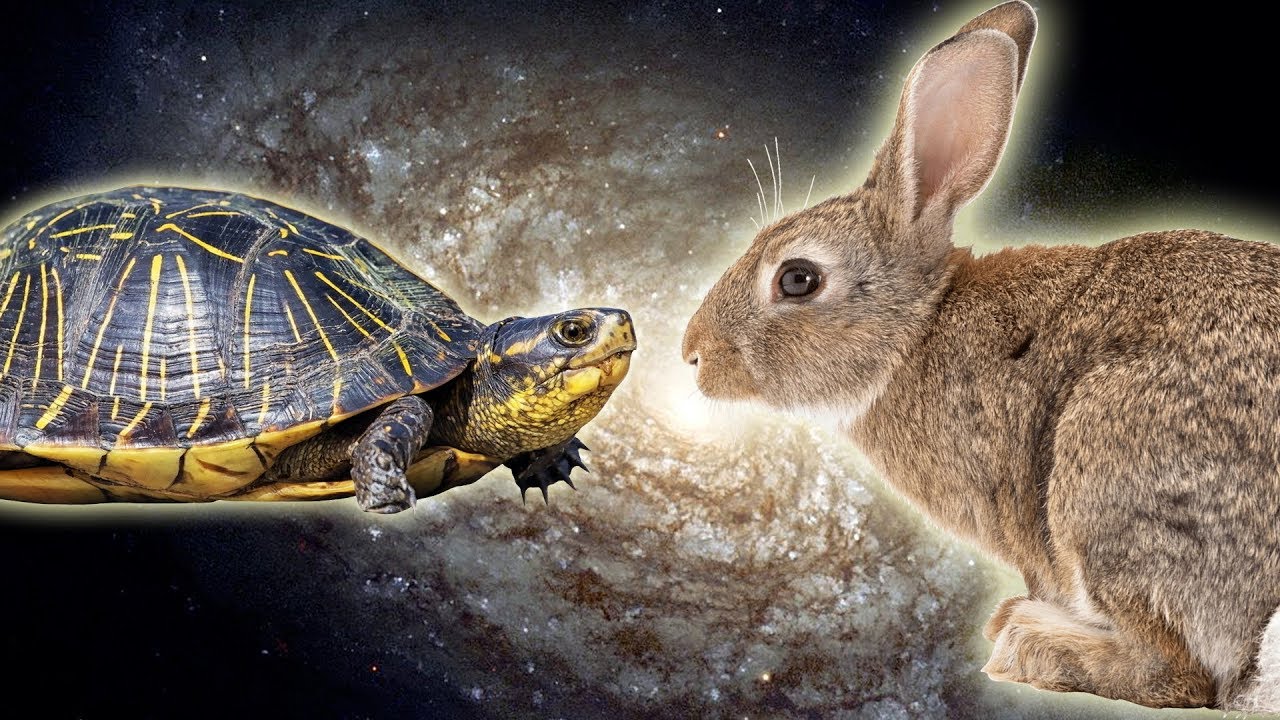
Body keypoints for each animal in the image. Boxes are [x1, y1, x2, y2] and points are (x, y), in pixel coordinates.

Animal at [681, 0, 1280, 711]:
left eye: (798, 279)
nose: (692, 353)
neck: (918, 329)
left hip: (1106, 472)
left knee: (1180, 673)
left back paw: (1030, 641)